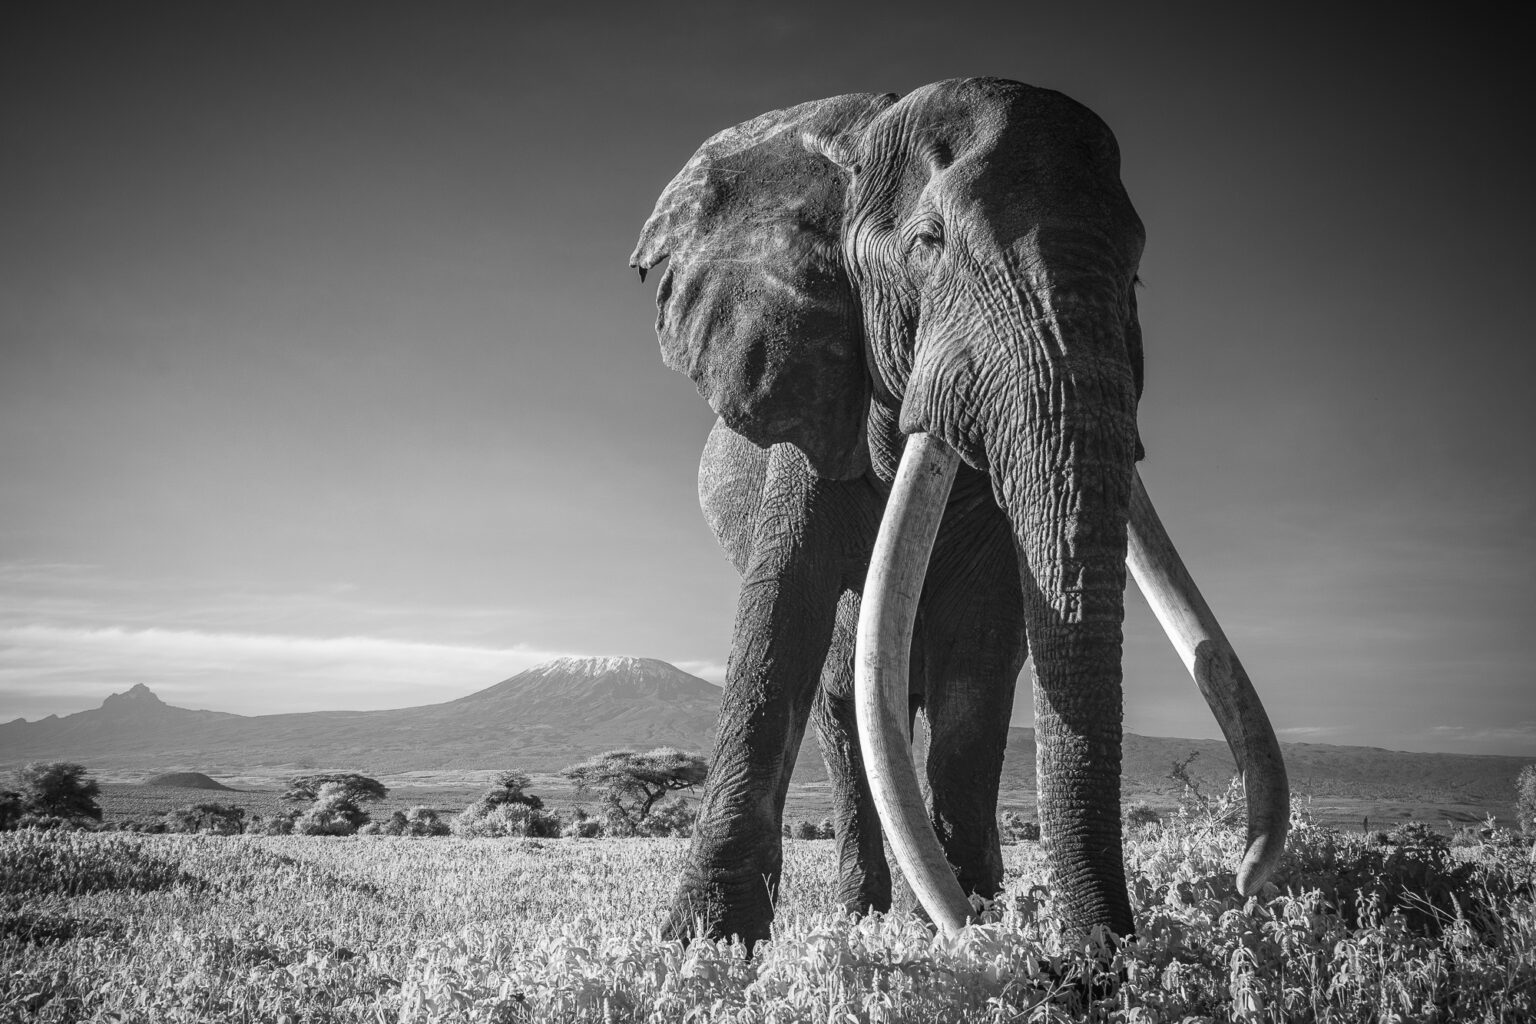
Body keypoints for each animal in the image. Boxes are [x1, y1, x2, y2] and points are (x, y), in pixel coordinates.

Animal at [631, 77, 1288, 946]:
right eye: (928, 242)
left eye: (1139, 276)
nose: (1097, 958)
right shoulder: (810, 402)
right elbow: (782, 616)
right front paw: (706, 943)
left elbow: (979, 657)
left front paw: (970, 922)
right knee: (841, 706)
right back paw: (863, 914)